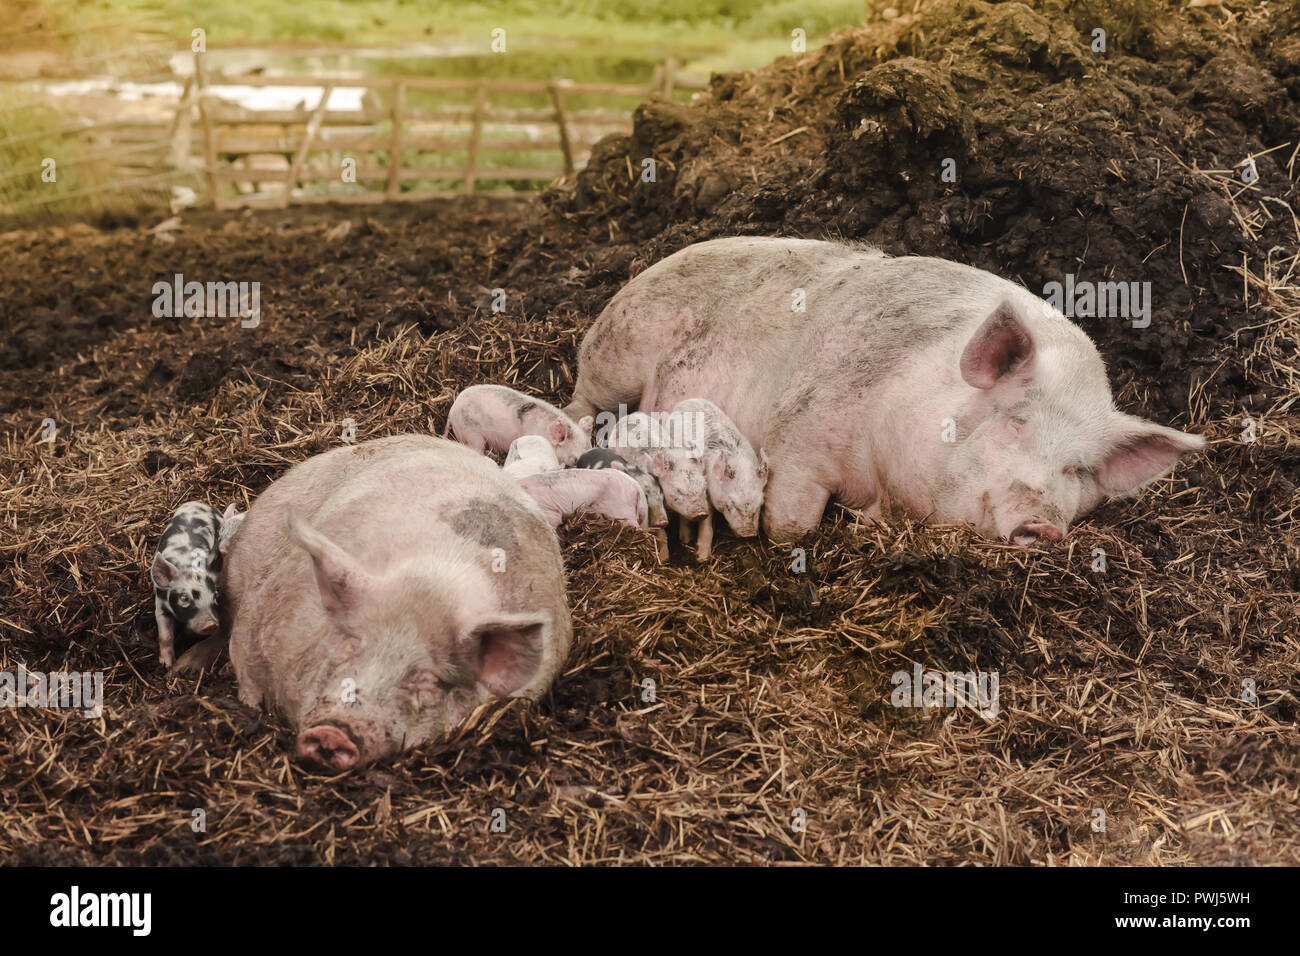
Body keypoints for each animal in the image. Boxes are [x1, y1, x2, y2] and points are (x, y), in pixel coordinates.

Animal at [150, 501, 223, 668]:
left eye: (215, 597)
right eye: (184, 598)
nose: (211, 625)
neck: (188, 565)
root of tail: (198, 502)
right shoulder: (160, 603)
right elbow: (165, 636)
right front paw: (166, 664)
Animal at [221, 435, 572, 771]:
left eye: (430, 680)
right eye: (350, 644)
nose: (333, 732)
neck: (438, 577)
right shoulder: (259, 616)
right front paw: (249, 707)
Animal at [670, 398, 770, 560]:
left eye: (761, 503)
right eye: (731, 504)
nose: (748, 533)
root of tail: (688, 400)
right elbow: (707, 522)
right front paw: (702, 558)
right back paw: (685, 540)